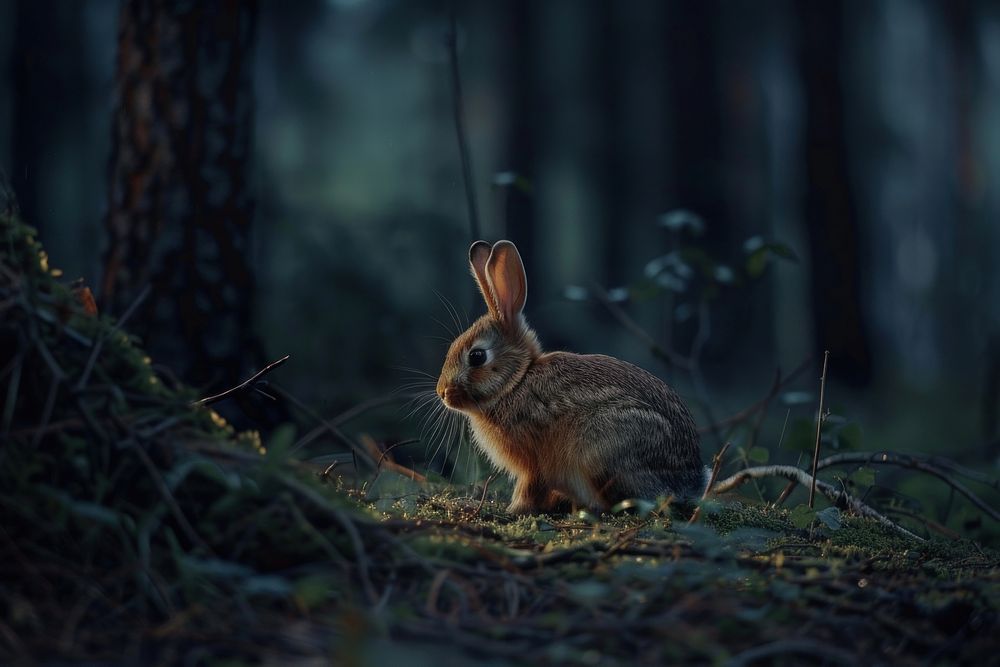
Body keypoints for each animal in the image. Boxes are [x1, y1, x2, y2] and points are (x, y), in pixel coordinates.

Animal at [436, 239, 709, 514]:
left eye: (477, 356)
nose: (442, 392)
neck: (516, 382)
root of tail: (691, 481)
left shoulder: (534, 463)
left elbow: (530, 487)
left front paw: (513, 509)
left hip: (602, 452)